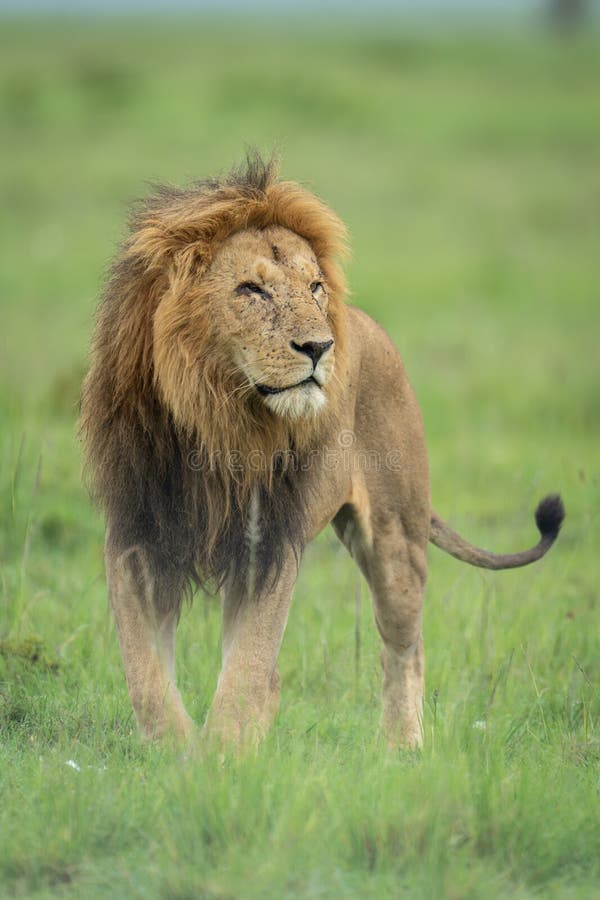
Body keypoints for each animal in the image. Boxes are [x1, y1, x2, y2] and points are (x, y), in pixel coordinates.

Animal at [80, 154, 564, 749]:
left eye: (313, 286)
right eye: (251, 290)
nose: (318, 347)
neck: (218, 424)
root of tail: (366, 324)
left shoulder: (266, 545)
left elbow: (246, 666)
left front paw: (220, 756)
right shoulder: (136, 539)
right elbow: (146, 673)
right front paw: (179, 752)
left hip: (397, 539)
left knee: (405, 647)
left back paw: (402, 750)